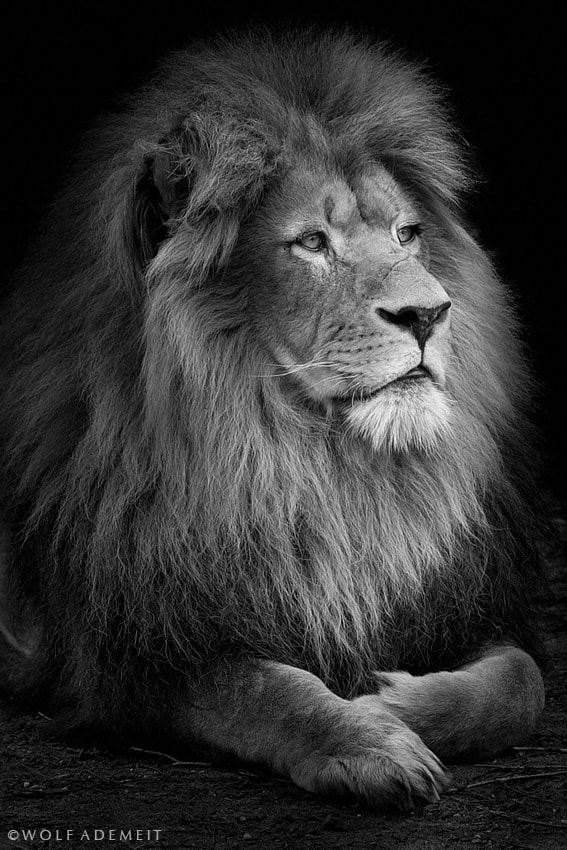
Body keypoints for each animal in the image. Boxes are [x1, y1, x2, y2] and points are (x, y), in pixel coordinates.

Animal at [0, 26, 547, 811]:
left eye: (407, 233)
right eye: (311, 242)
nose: (429, 313)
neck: (310, 464)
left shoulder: (459, 607)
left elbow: (519, 683)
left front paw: (389, 700)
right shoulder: (136, 663)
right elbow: (267, 691)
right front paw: (368, 740)